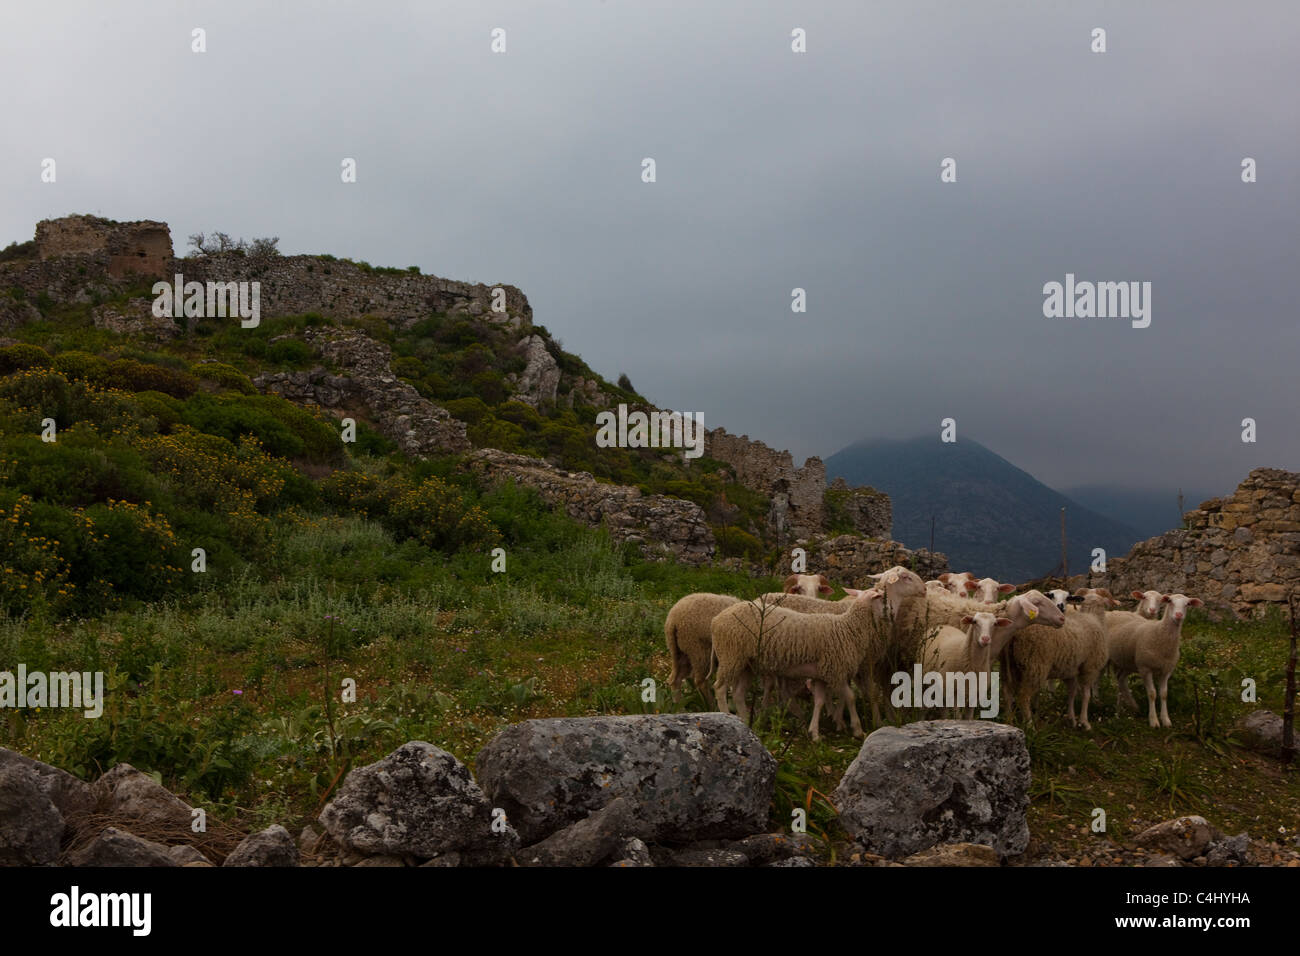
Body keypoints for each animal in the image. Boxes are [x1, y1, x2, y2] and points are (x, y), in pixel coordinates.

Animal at [711, 588, 888, 741]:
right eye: (880, 598)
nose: (888, 614)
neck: (848, 627)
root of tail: (716, 619)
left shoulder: (822, 674)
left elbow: (819, 701)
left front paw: (814, 733)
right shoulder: (836, 671)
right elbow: (850, 697)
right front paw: (857, 730)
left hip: (746, 664)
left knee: (738, 694)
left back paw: (746, 723)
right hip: (730, 656)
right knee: (720, 688)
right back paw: (727, 717)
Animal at [1004, 591, 1109, 730]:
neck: (1094, 618)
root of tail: (1015, 634)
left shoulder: (1071, 669)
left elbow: (1072, 693)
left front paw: (1072, 719)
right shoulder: (1089, 667)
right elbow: (1086, 694)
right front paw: (1084, 722)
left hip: (1009, 665)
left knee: (1007, 692)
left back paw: (1009, 720)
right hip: (1036, 664)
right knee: (1023, 696)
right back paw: (1030, 725)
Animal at [1108, 593, 1203, 728]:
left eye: (1188, 604)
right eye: (1170, 601)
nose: (1178, 615)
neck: (1158, 632)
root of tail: (1116, 611)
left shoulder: (1166, 671)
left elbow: (1164, 694)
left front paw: (1166, 720)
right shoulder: (1145, 668)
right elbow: (1152, 694)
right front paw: (1153, 721)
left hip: (1128, 662)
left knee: (1121, 680)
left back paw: (1127, 708)